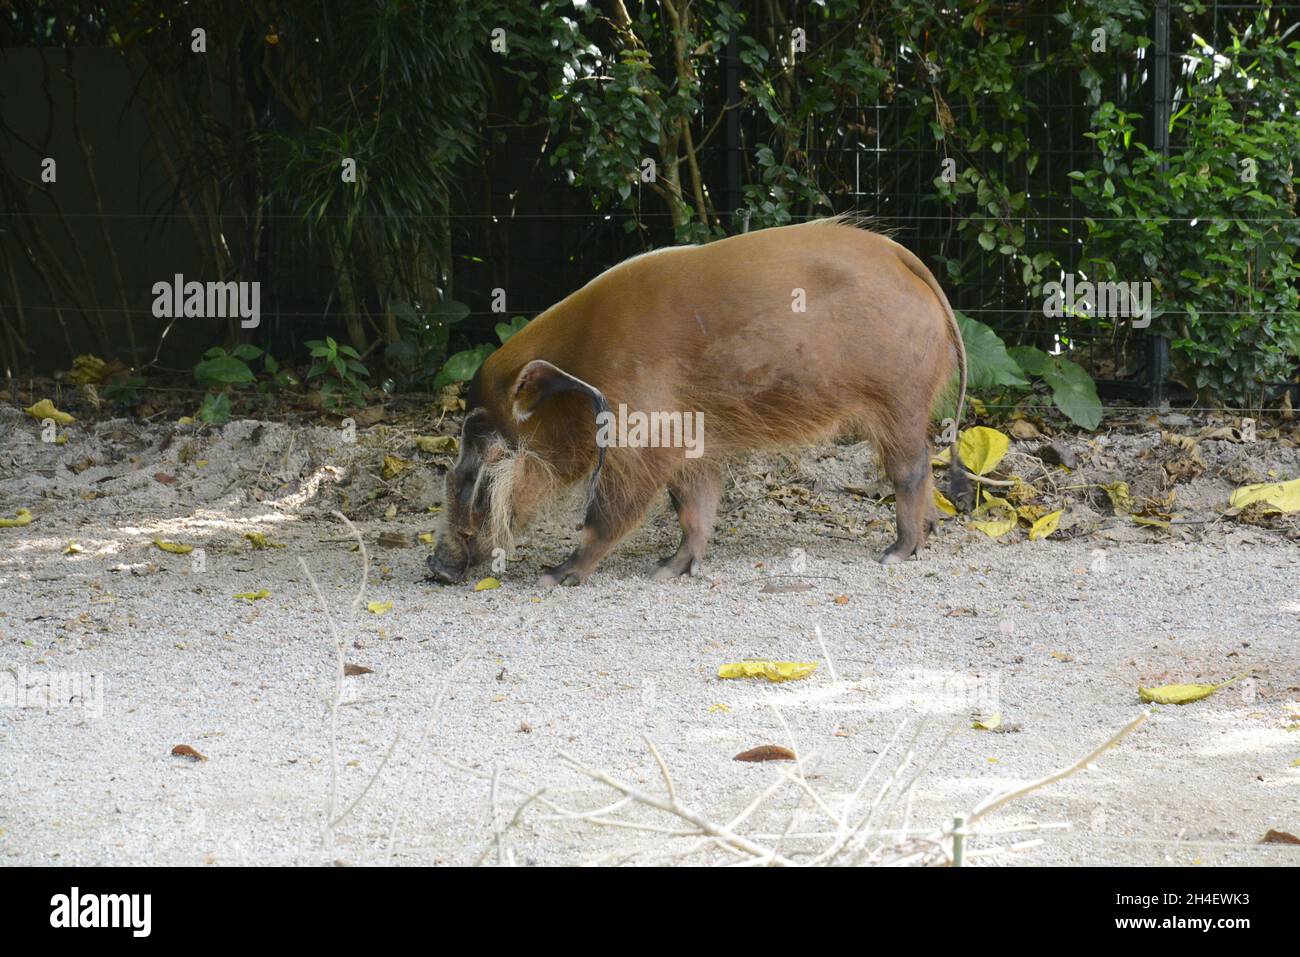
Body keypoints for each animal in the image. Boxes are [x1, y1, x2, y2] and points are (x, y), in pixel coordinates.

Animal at [427, 215, 968, 587]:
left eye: (486, 439)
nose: (436, 568)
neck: (584, 360)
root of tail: (906, 260)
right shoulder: (692, 441)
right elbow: (693, 505)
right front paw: (668, 570)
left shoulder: (643, 439)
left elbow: (611, 512)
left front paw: (555, 576)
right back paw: (929, 534)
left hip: (900, 399)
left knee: (910, 470)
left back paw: (896, 552)